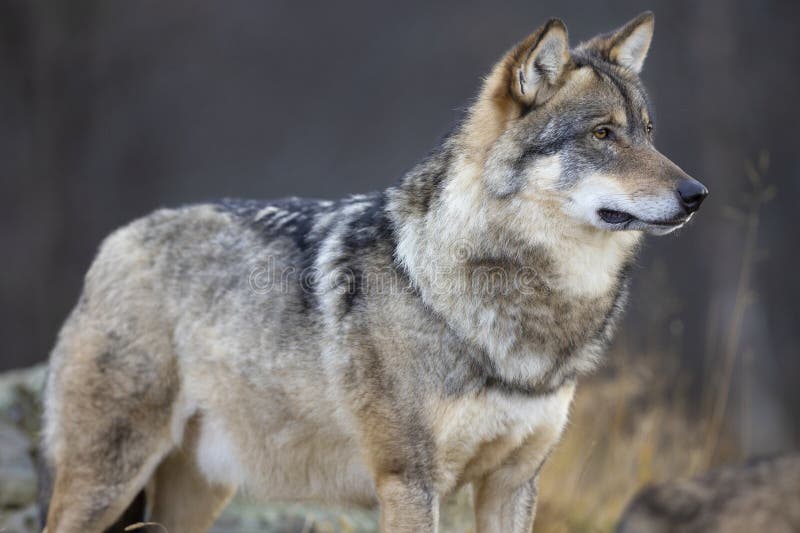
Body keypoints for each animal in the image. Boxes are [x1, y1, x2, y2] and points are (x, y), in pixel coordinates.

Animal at [40, 12, 707, 533]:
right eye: (602, 133)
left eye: (648, 132)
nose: (696, 194)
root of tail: (117, 240)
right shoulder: (409, 481)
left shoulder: (513, 485)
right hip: (107, 482)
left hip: (192, 494)